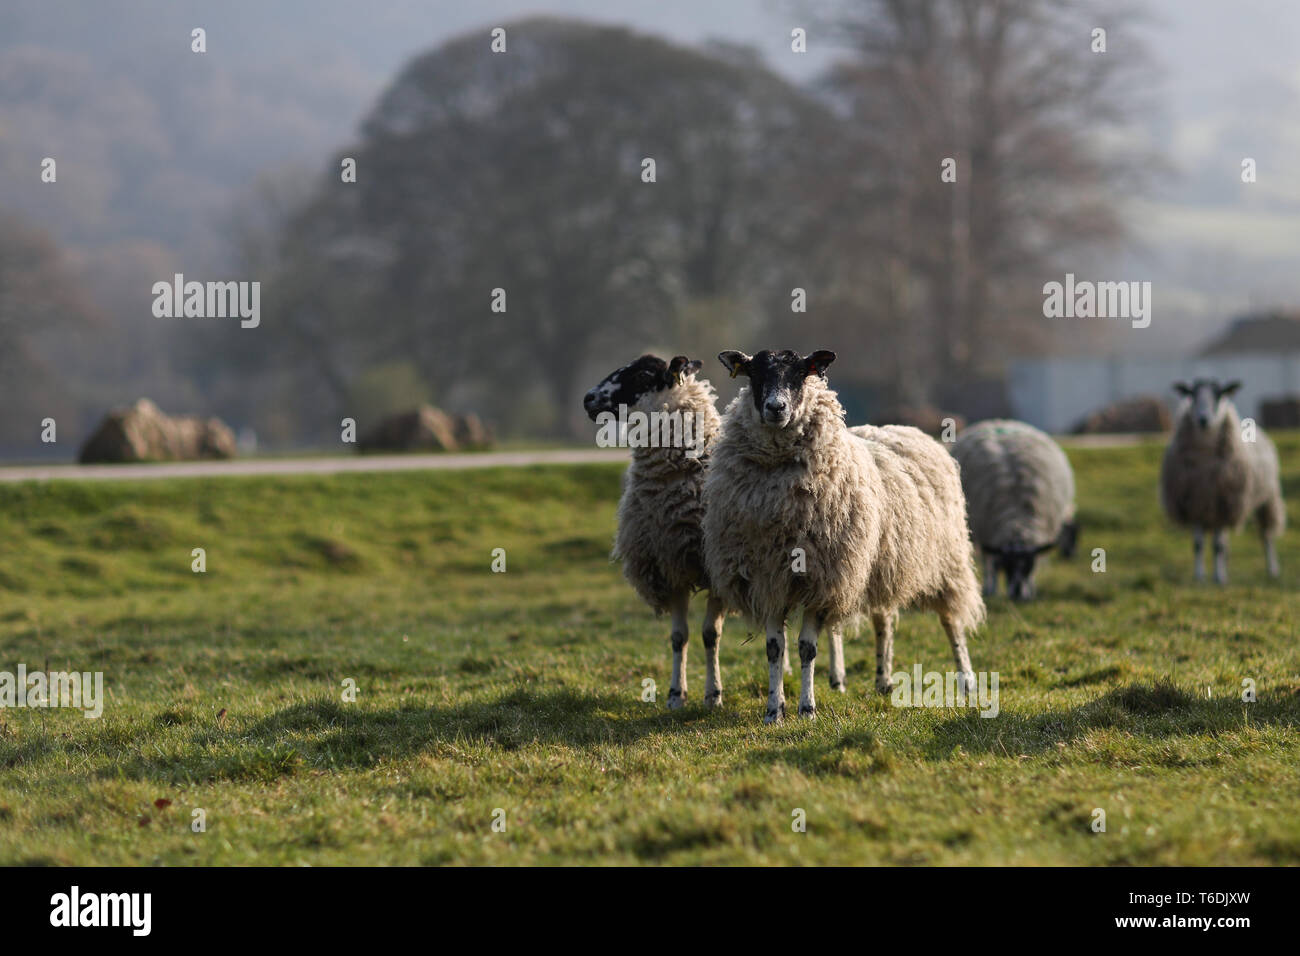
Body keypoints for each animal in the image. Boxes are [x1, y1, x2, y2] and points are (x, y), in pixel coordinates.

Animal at [583, 354, 729, 708]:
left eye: (643, 375)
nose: (588, 399)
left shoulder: (716, 569)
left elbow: (710, 635)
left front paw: (713, 695)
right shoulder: (669, 562)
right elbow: (679, 636)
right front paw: (676, 695)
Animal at [702, 348, 984, 723]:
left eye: (800, 374)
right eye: (754, 373)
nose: (776, 408)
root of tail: (910, 429)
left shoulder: (823, 578)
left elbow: (807, 648)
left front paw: (807, 709)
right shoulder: (769, 578)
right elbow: (775, 649)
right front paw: (774, 710)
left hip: (946, 562)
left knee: (952, 621)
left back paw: (966, 680)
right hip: (882, 563)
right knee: (884, 621)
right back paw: (883, 680)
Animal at [950, 419, 1078, 601]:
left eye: (1028, 565)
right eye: (1007, 564)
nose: (1018, 596)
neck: (1017, 517)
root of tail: (1000, 422)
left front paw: (1031, 589)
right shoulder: (986, 532)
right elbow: (990, 564)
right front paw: (991, 589)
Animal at [1160, 379, 1285, 584]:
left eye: (1218, 395)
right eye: (1192, 394)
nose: (1203, 419)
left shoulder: (1221, 504)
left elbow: (1217, 546)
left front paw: (1218, 578)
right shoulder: (1195, 503)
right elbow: (1198, 545)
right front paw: (1200, 577)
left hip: (1266, 498)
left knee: (1266, 535)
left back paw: (1272, 569)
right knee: (1224, 542)